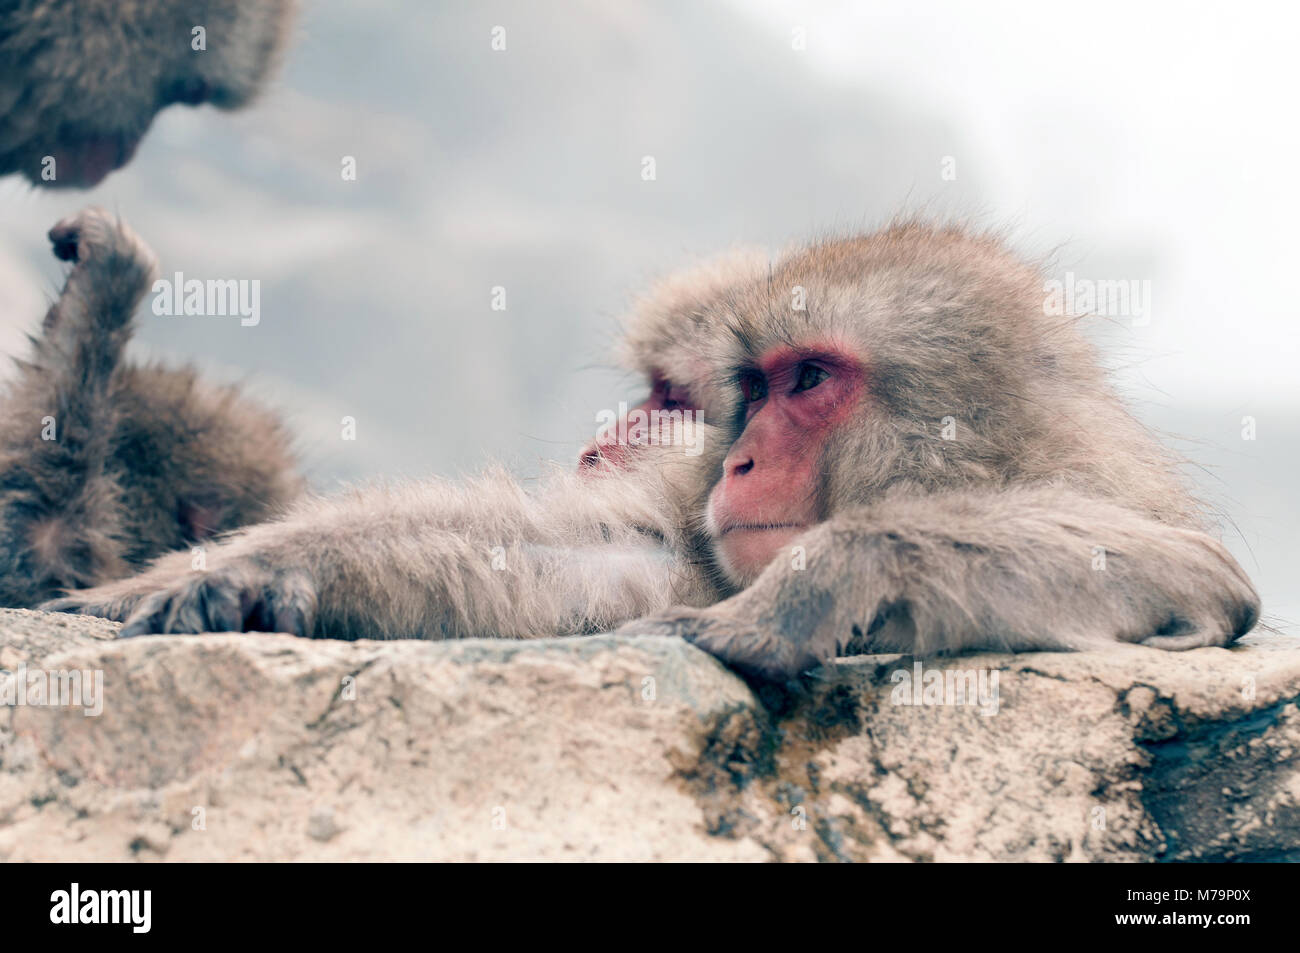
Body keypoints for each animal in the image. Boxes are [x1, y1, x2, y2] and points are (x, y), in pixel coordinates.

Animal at [43, 222, 1260, 683]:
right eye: (755, 388)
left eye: (809, 382)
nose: (741, 463)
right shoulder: (691, 516)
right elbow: (583, 566)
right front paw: (249, 574)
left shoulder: (1098, 486)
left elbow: (1201, 578)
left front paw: (811, 590)